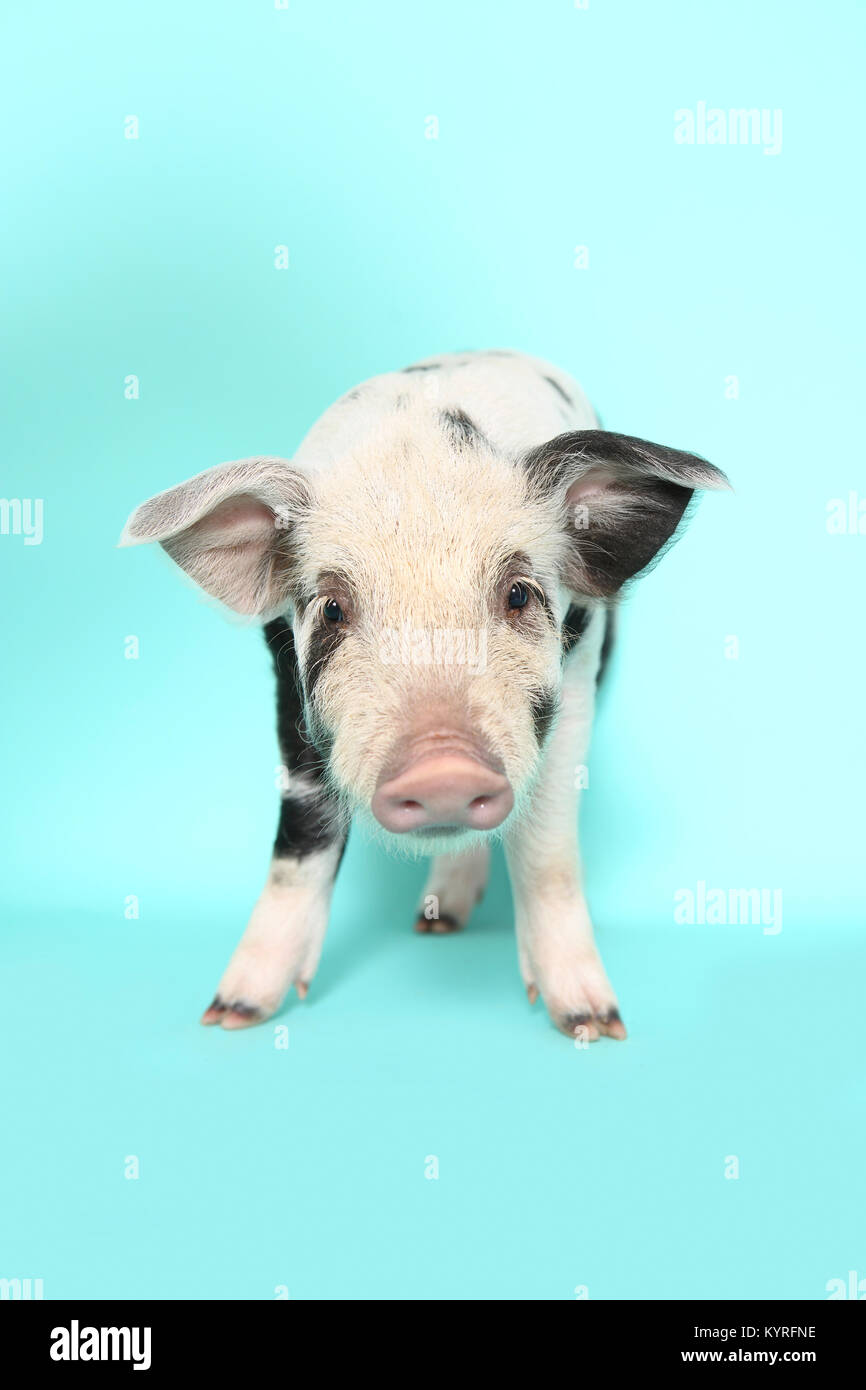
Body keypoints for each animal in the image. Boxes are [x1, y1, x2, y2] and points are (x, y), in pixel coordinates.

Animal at [120, 349, 729, 1041]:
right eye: (332, 608)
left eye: (518, 594)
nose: (444, 766)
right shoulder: (286, 682)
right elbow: (301, 837)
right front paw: (229, 1015)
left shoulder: (579, 672)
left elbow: (548, 845)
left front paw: (595, 1026)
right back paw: (433, 926)